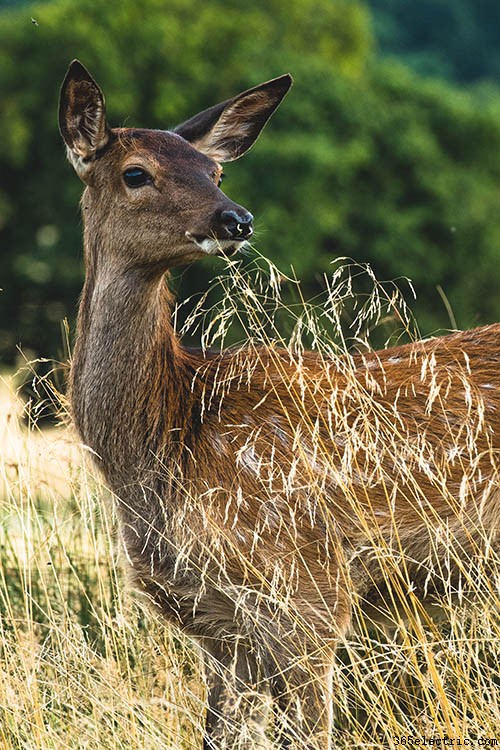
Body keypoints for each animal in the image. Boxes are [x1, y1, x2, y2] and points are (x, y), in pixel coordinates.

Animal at [59, 60, 500, 750]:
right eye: (135, 172)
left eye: (215, 172)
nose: (236, 219)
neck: (172, 437)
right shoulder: (218, 627)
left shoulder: (308, 594)